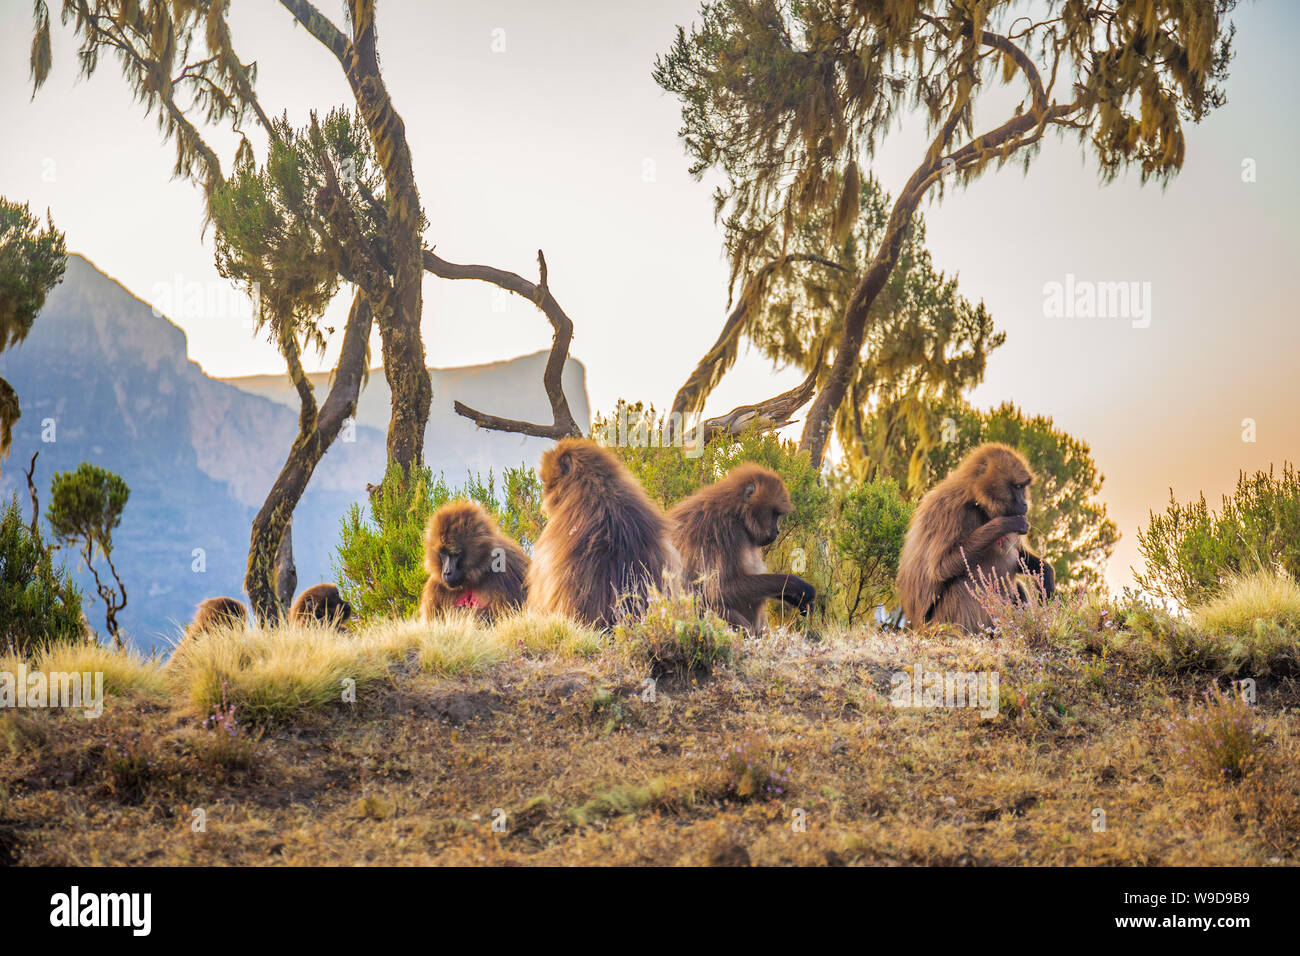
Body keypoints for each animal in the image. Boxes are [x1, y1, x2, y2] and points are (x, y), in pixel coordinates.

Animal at [669, 463, 816, 633]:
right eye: (775, 514)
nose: (777, 531)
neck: (736, 512)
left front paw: (793, 597)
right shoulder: (726, 531)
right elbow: (720, 590)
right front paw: (797, 585)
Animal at [896, 442, 1055, 632]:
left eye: (1023, 487)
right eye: (1017, 487)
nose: (1025, 505)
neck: (976, 502)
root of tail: (917, 627)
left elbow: (1019, 555)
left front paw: (1046, 574)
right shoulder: (949, 512)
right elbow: (940, 567)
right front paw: (1005, 524)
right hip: (938, 622)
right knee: (962, 586)